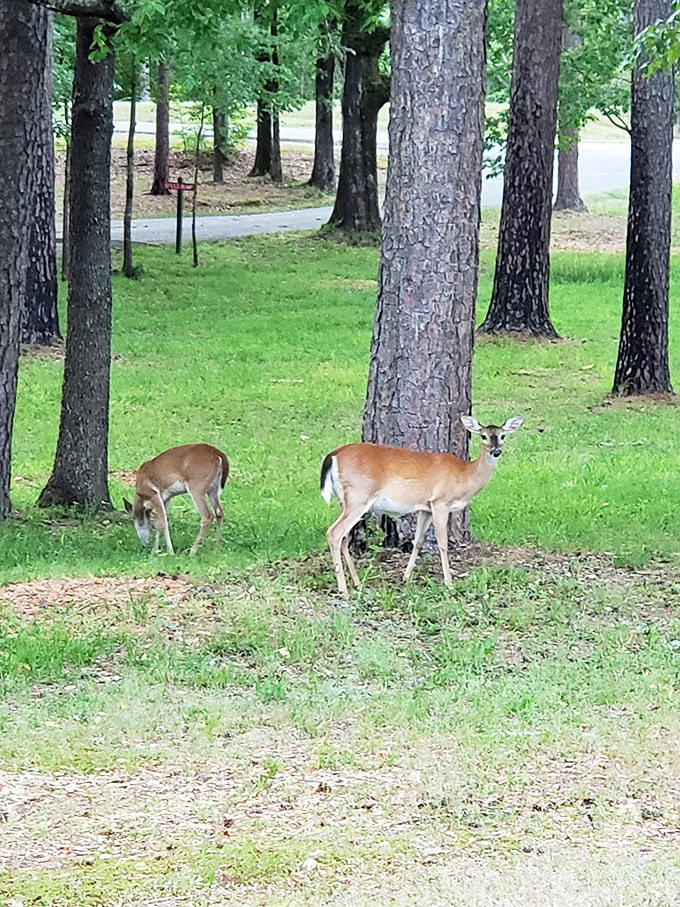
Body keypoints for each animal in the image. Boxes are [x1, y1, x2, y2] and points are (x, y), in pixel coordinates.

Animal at [320, 415, 523, 598]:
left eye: (502, 436)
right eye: (483, 436)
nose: (496, 451)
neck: (465, 474)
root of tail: (333, 456)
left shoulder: (425, 508)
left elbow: (418, 541)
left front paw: (406, 578)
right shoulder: (440, 501)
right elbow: (442, 542)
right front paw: (449, 583)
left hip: (345, 501)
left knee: (344, 538)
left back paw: (358, 584)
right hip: (358, 496)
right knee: (334, 533)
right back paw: (344, 591)